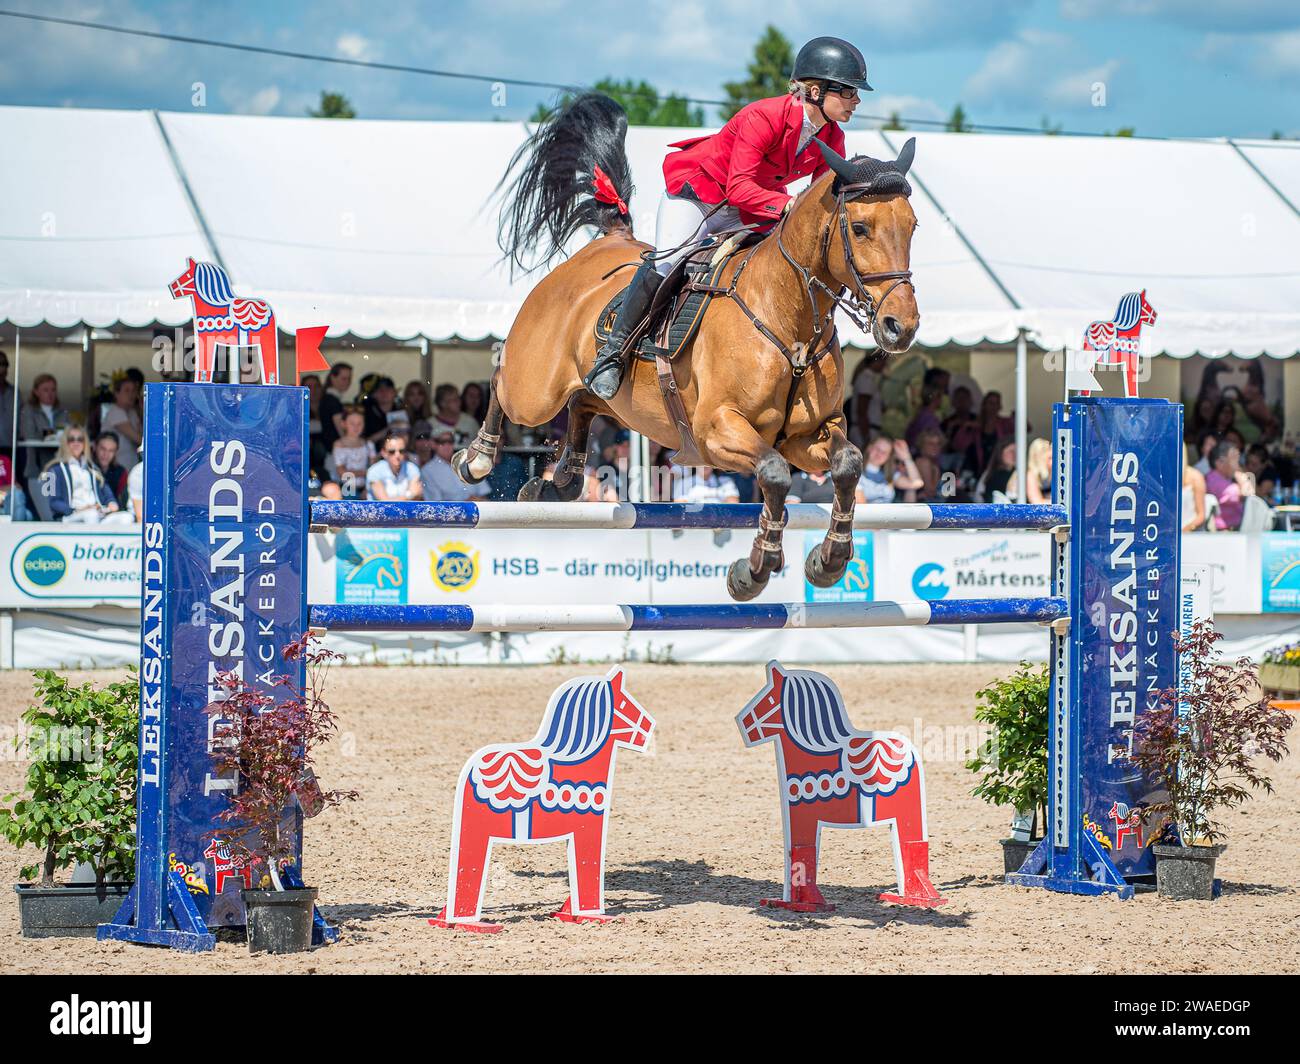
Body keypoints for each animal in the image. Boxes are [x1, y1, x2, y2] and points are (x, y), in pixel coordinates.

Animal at [431, 668, 655, 932]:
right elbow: (589, 870)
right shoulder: (587, 830)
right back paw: (468, 922)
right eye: (623, 703)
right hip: (476, 832)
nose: (650, 728)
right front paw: (592, 914)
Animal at [454, 93, 920, 602]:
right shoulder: (717, 429)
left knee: (583, 404)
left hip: (607, 398)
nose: (901, 327)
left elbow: (848, 464)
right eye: (860, 228)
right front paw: (753, 571)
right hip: (535, 390)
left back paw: (558, 484)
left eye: (912, 227)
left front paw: (829, 560)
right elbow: (774, 474)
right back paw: (477, 458)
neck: (788, 314)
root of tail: (604, 243)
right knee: (503, 379)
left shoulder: (806, 434)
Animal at [736, 661, 945, 909]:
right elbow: (801, 855)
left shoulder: (803, 818)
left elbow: (802, 853)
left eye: (769, 699)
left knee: (912, 846)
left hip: (906, 814)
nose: (743, 723)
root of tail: (907, 749)